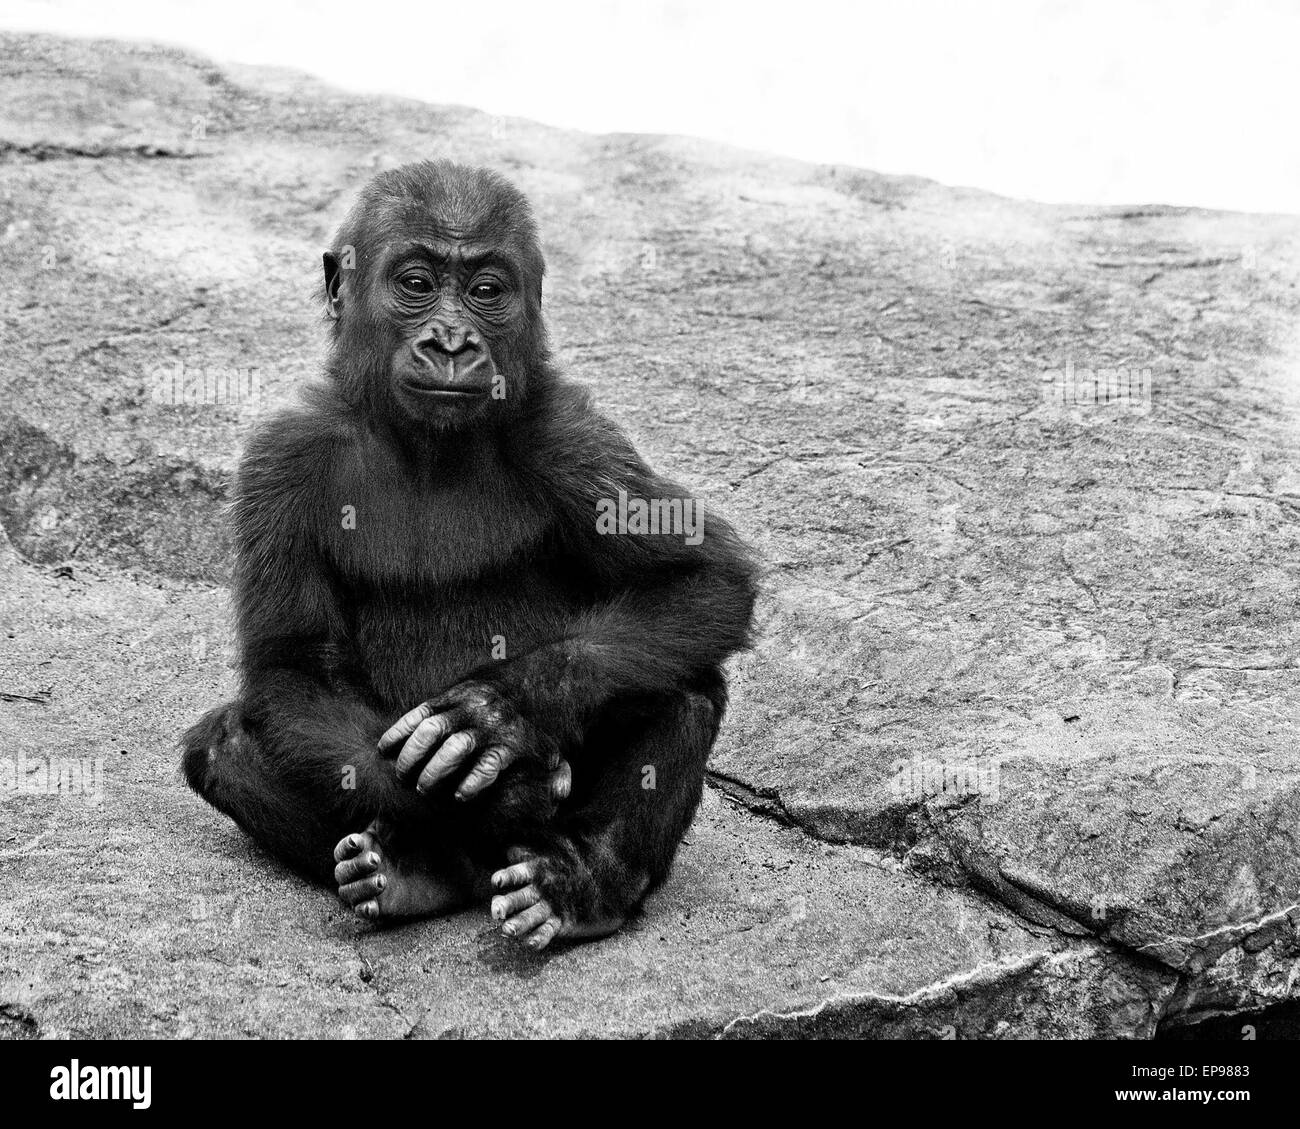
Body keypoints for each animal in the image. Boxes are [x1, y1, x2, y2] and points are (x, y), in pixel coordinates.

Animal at [181, 160, 758, 950]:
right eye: (417, 282)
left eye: (487, 291)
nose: (452, 343)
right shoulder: (284, 451)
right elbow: (294, 668)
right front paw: (506, 795)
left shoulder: (567, 433)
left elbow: (703, 578)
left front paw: (501, 710)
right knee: (225, 744)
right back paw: (419, 870)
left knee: (683, 682)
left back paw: (584, 885)